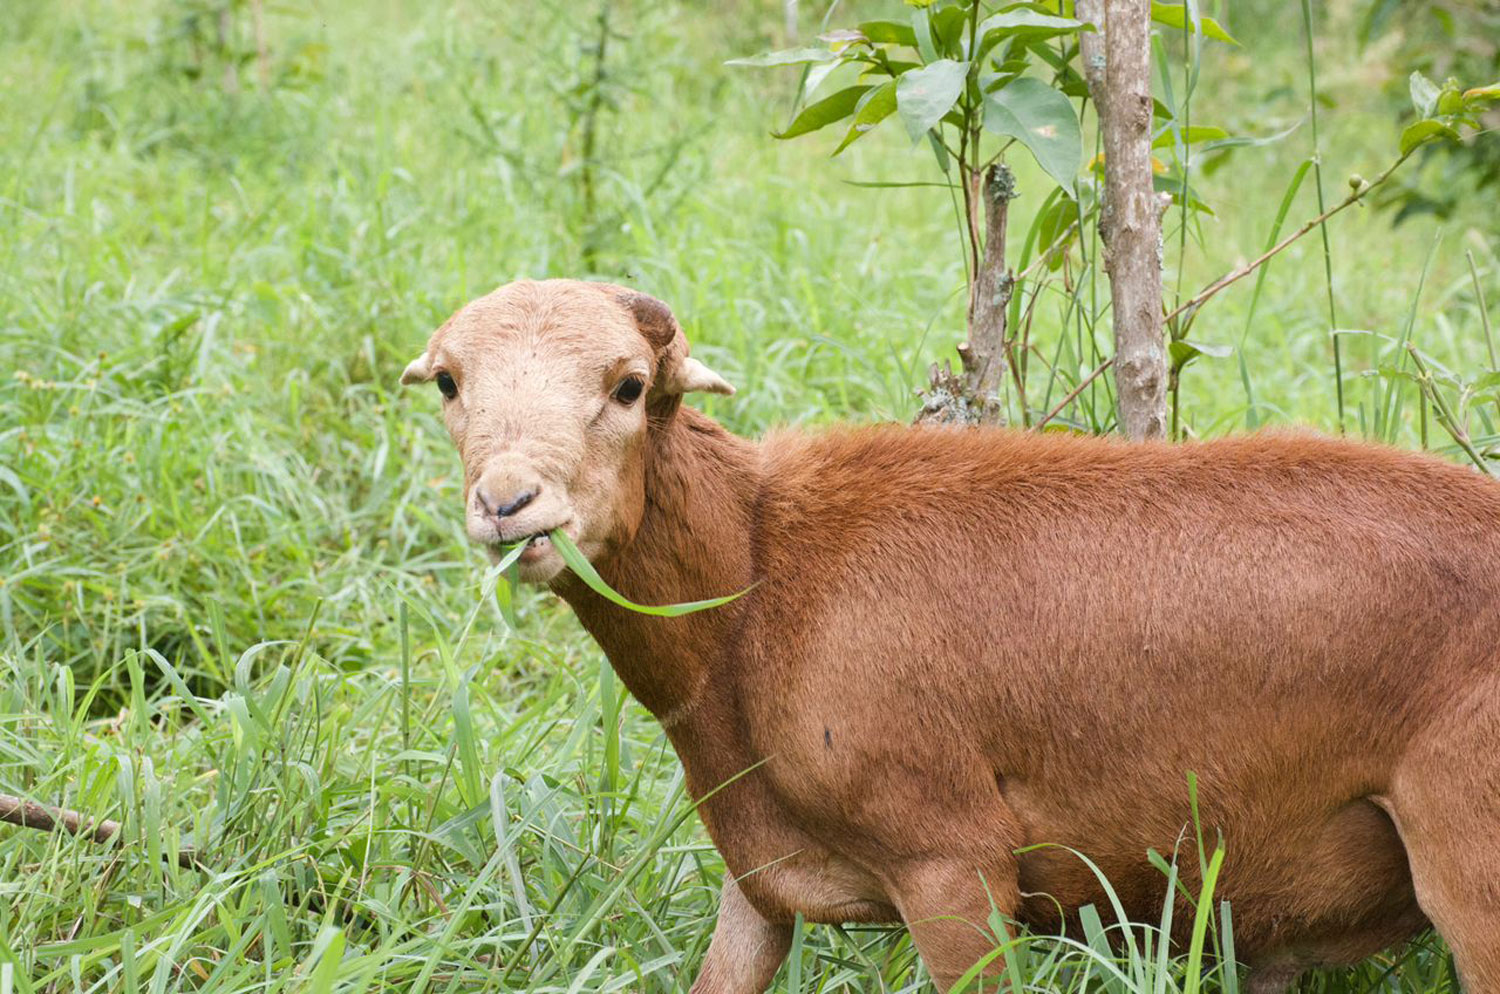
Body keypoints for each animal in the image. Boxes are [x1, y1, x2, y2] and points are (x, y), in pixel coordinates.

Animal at [401, 278, 1500, 994]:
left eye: (629, 385)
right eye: (451, 383)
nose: (509, 505)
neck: (755, 578)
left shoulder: (951, 860)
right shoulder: (759, 885)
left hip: (1474, 864)